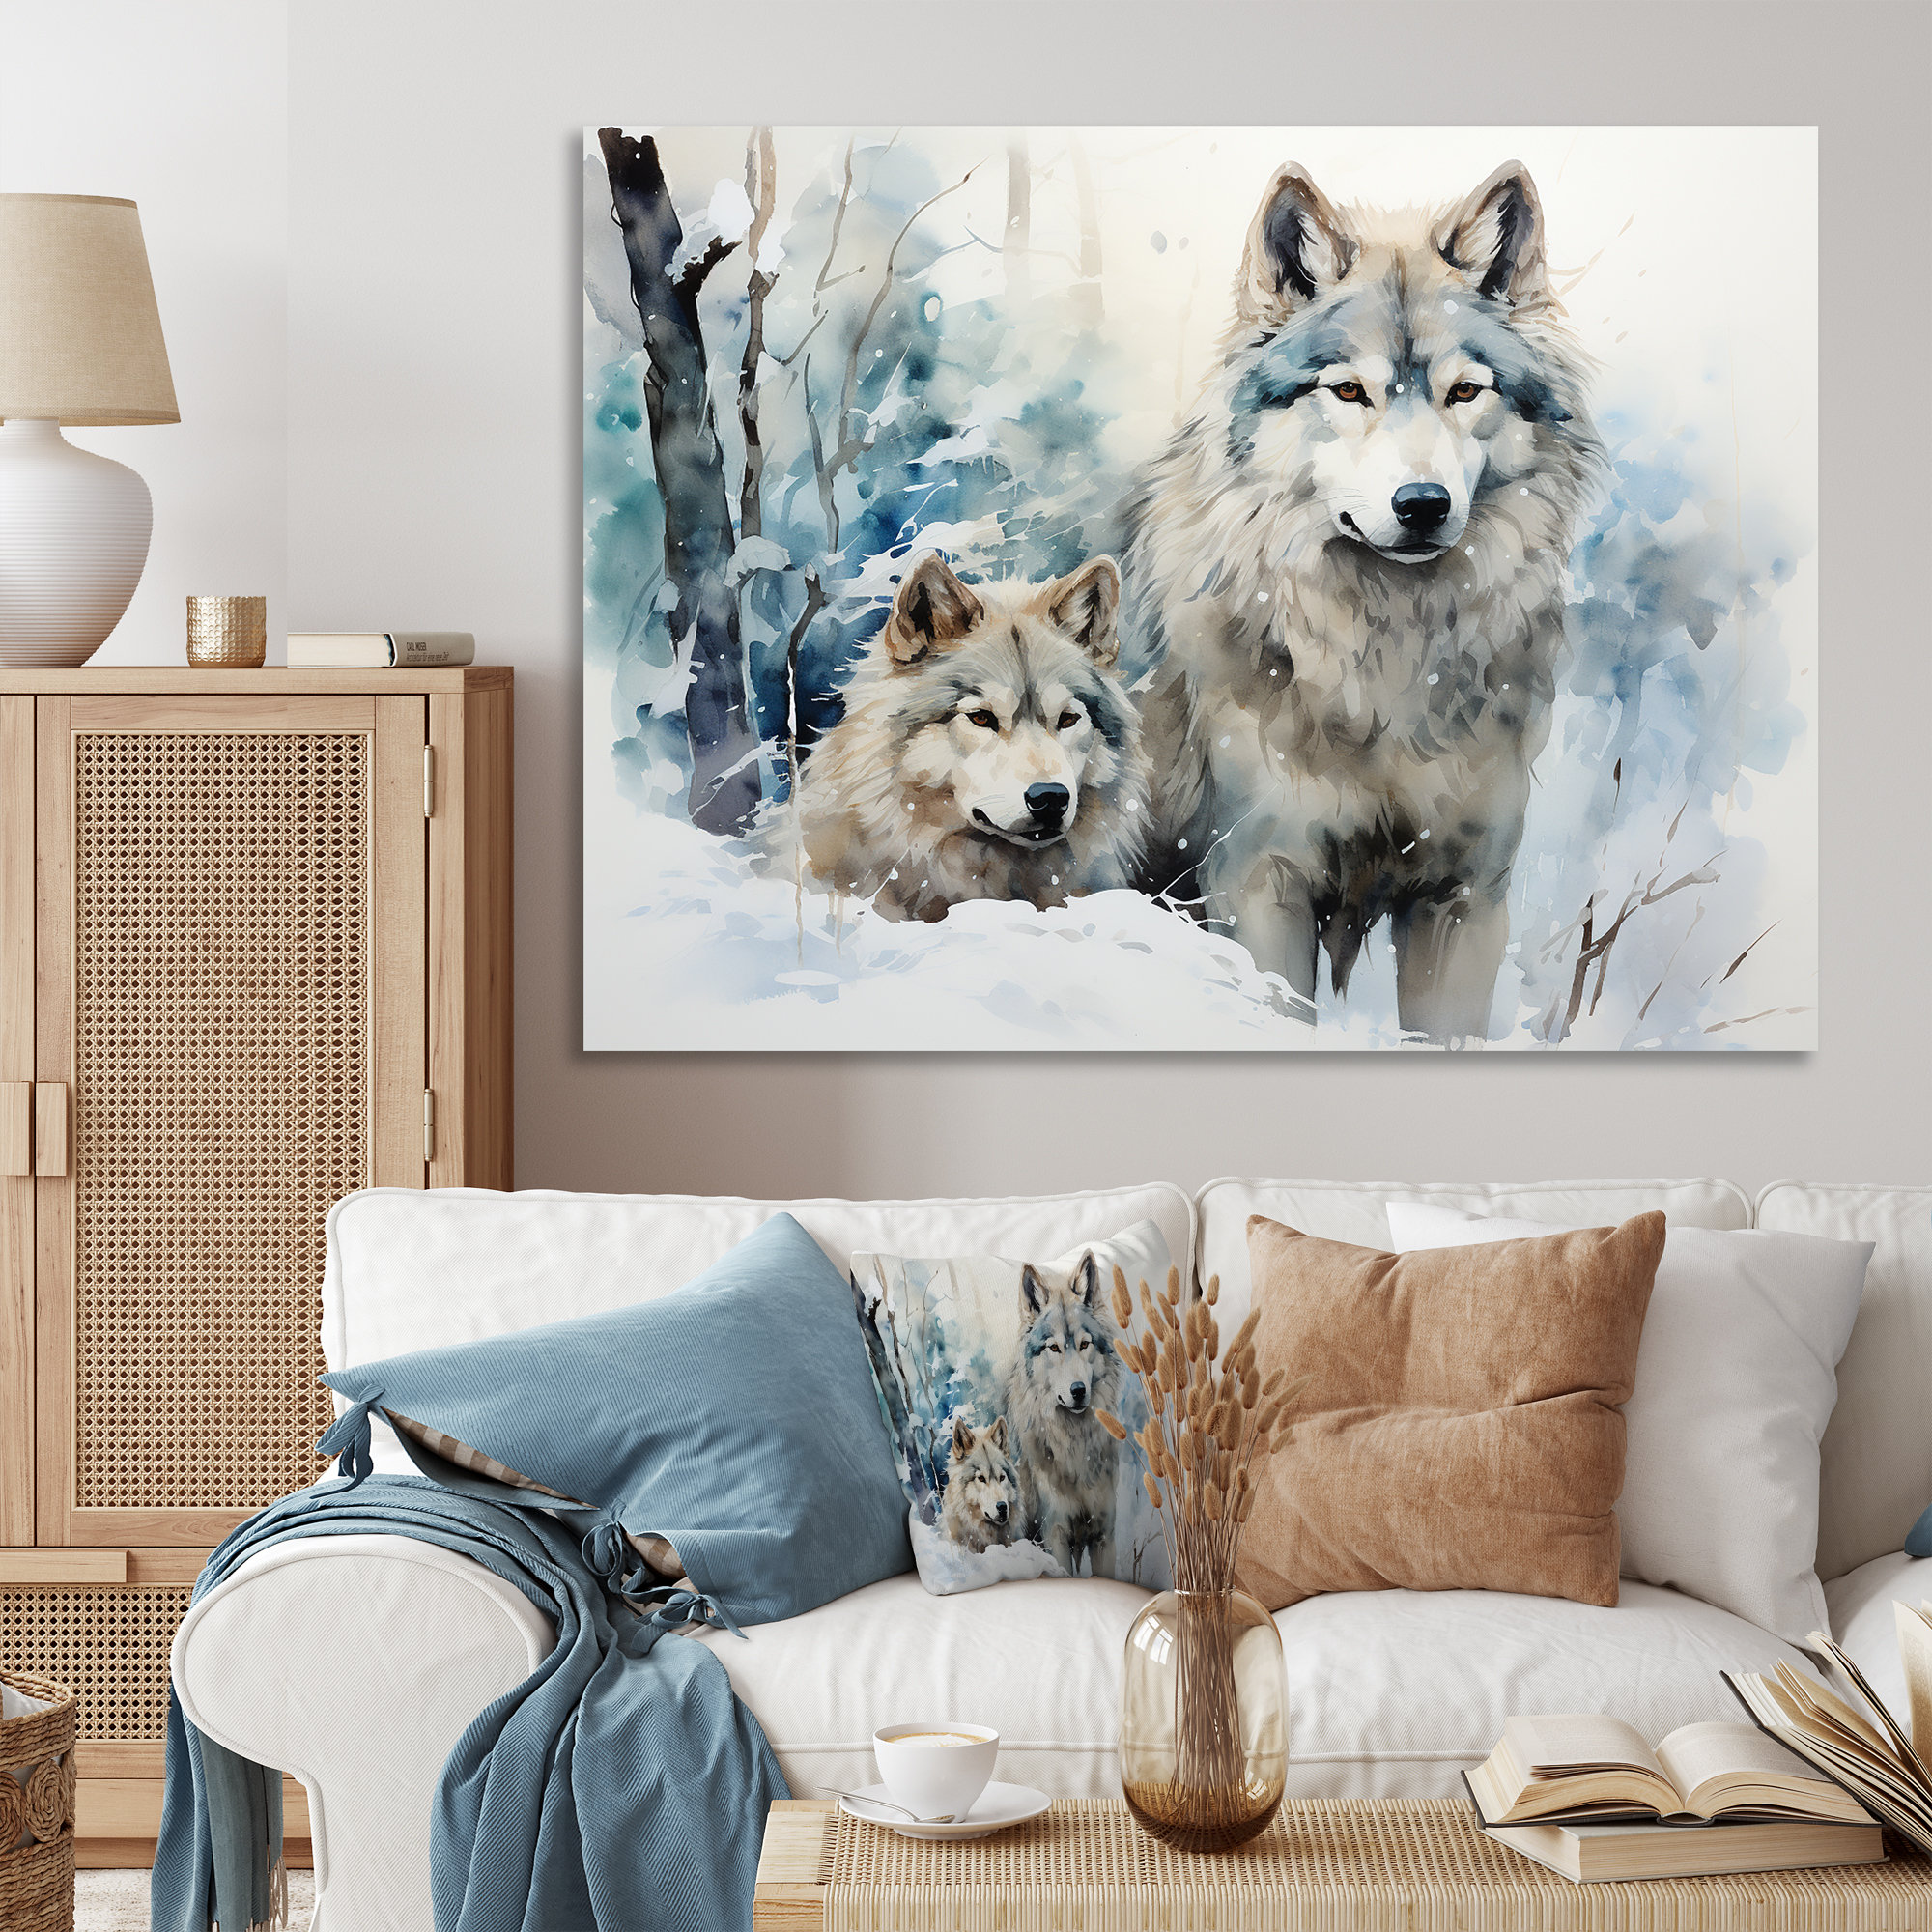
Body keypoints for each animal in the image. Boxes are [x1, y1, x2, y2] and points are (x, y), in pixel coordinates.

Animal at [1124, 161, 1604, 1042]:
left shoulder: (1465, 898)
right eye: (1348, 391)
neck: (1389, 663)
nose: (1423, 505)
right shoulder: (1259, 885)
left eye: (1465, 392)